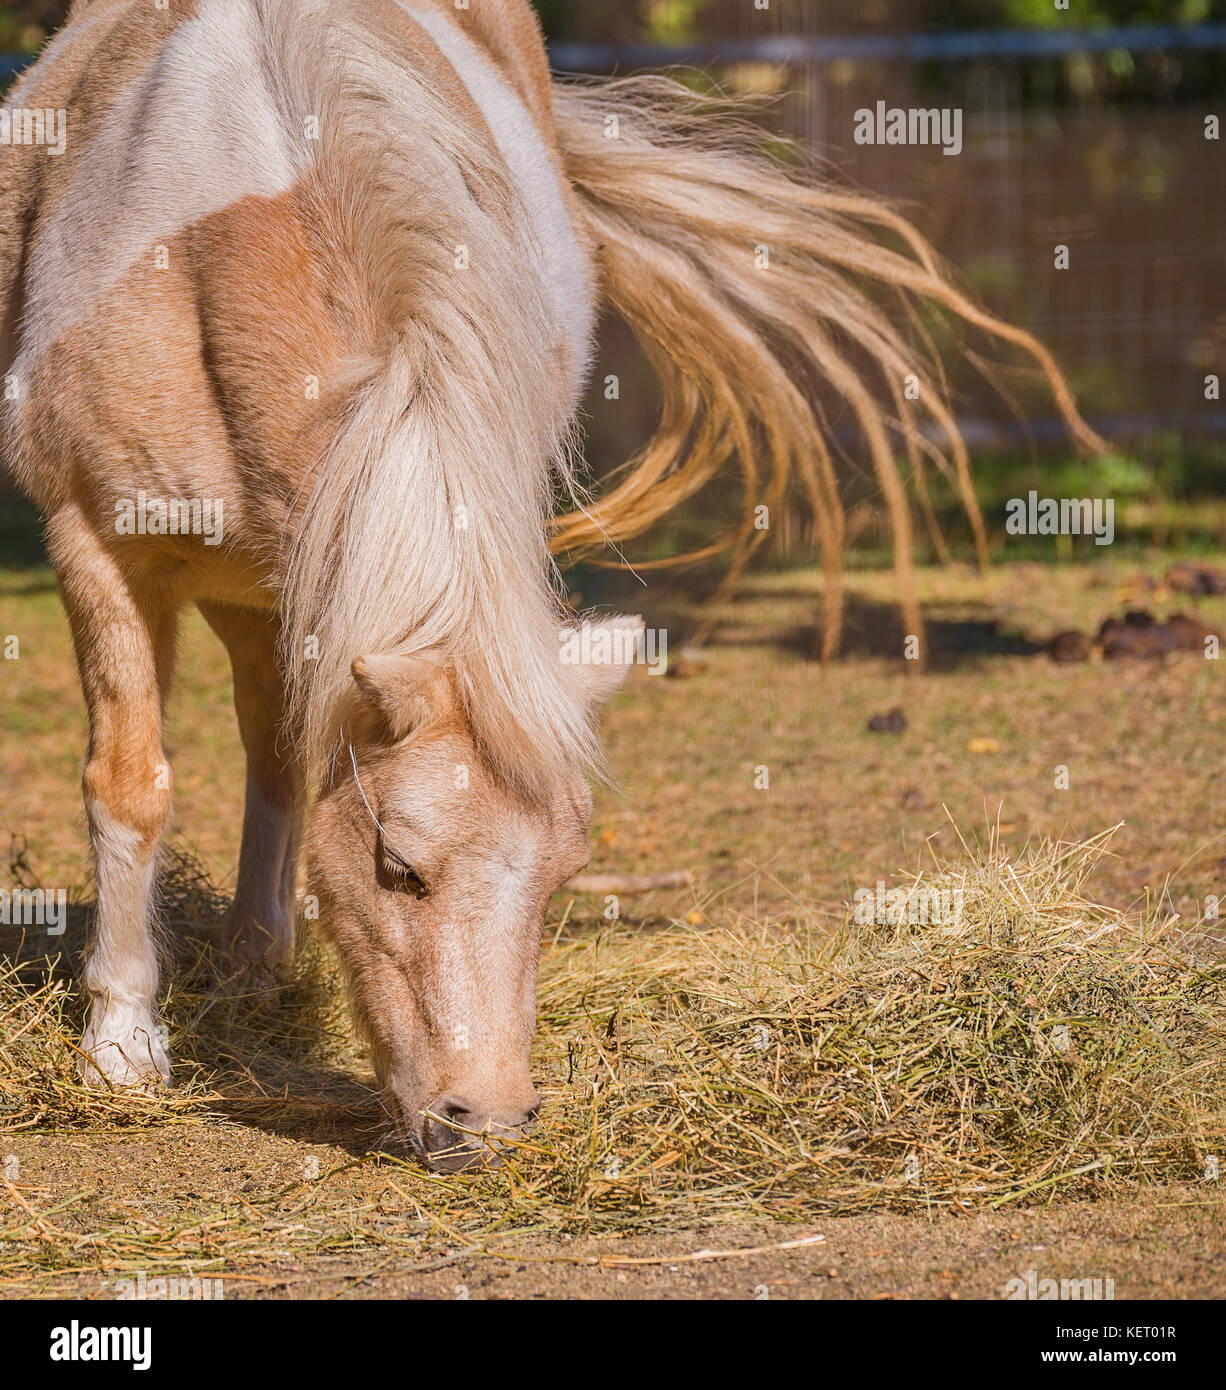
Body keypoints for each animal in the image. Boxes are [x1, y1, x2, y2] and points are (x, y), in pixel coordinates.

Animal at [0, 0, 1101, 1169]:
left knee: (277, 751)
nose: (484, 1120)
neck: (221, 250)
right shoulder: (95, 545)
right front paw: (121, 1044)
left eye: (562, 873)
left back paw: (258, 965)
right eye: (397, 865)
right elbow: (130, 784)